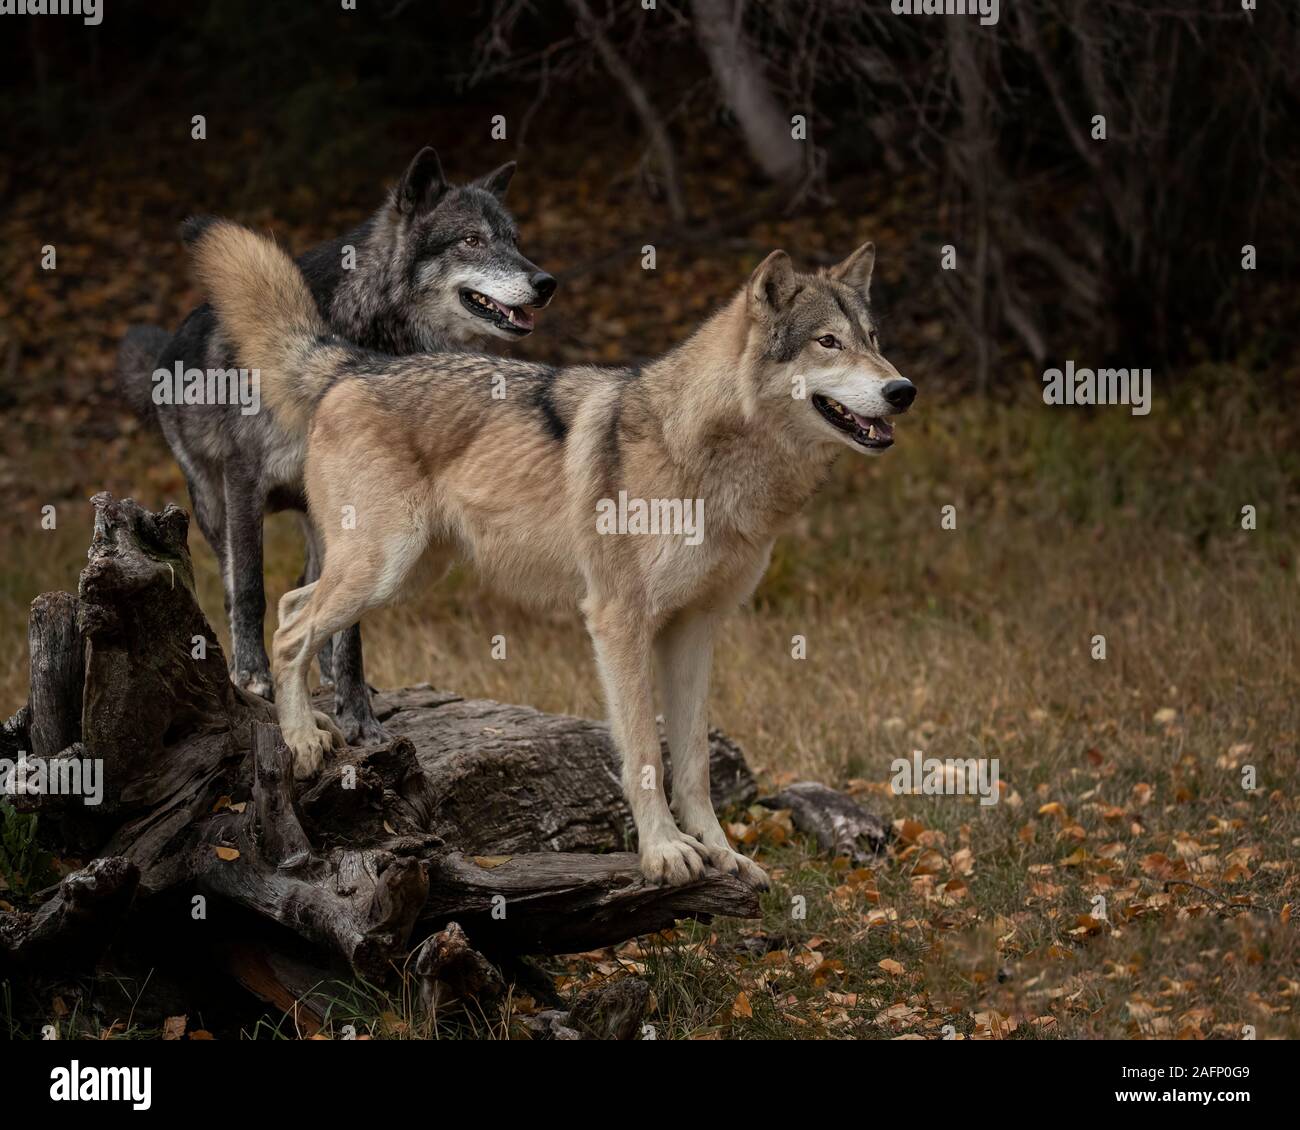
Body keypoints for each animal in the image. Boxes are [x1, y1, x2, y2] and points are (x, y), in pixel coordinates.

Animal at [116, 148, 555, 742]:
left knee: (316, 589)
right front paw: (254, 677)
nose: (545, 282)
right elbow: (250, 587)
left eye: (514, 239)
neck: (366, 329)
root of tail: (168, 345)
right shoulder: (244, 478)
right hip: (210, 504)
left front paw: (358, 713)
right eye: (471, 240)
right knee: (241, 583)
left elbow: (351, 633)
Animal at [188, 218, 916, 888]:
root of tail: (359, 364)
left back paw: (309, 725)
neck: (710, 460)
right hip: (382, 569)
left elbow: (694, 764)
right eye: (828, 342)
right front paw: (665, 853)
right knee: (290, 629)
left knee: (291, 604)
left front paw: (723, 854)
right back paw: (302, 740)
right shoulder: (618, 621)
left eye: (874, 342)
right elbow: (644, 753)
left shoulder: (696, 629)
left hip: (407, 572)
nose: (903, 391)